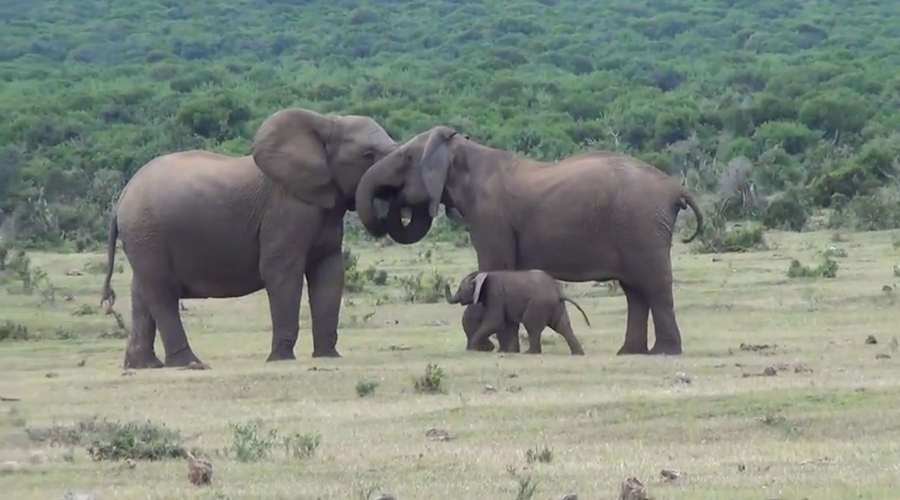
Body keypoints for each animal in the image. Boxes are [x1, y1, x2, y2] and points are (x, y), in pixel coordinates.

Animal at [99, 107, 401, 369]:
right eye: (368, 154)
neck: (324, 125)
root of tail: (121, 200)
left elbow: (329, 272)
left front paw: (328, 356)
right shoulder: (287, 209)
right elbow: (281, 271)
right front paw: (281, 359)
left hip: (143, 236)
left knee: (142, 292)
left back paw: (144, 366)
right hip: (147, 232)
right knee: (162, 292)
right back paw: (189, 363)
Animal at [445, 270, 589, 356]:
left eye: (460, 288)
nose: (446, 283)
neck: (481, 275)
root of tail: (559, 292)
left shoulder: (494, 294)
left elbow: (495, 322)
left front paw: (471, 349)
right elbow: (509, 323)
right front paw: (511, 352)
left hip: (539, 303)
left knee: (531, 324)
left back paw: (530, 353)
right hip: (554, 305)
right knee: (562, 326)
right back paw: (578, 353)